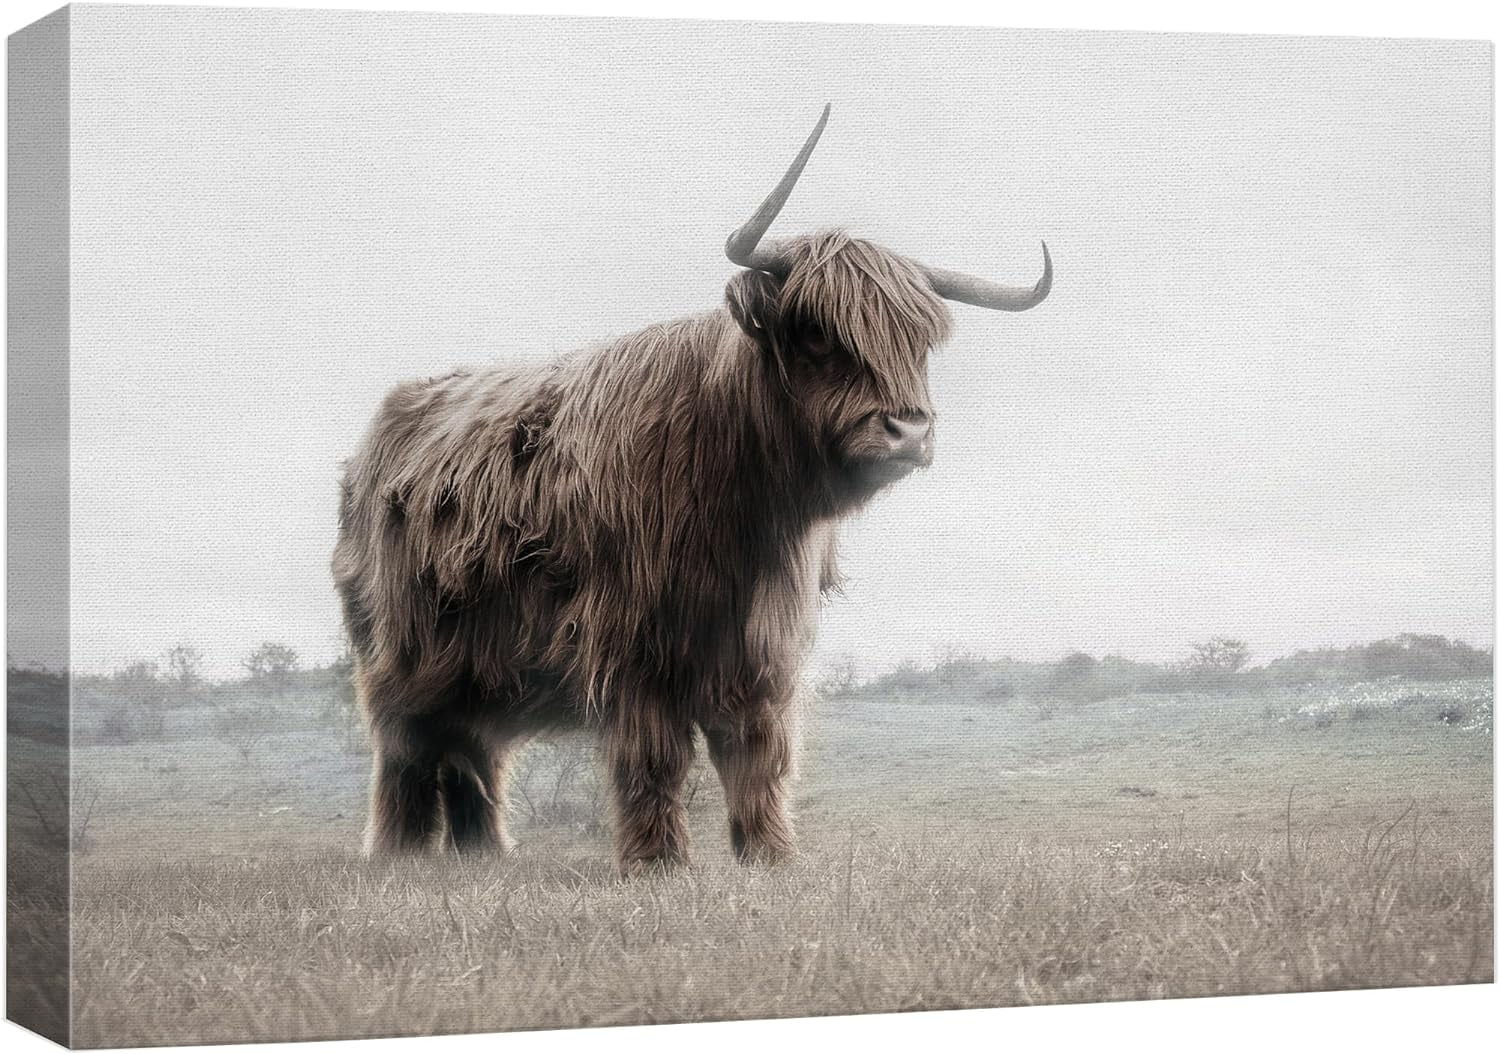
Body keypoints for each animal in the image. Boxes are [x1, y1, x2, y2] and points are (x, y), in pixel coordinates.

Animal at [332, 105, 1050, 872]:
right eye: (817, 334)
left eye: (918, 342)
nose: (909, 431)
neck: (744, 508)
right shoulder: (636, 644)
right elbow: (654, 756)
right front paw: (658, 862)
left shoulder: (761, 646)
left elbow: (758, 753)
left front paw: (769, 855)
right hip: (397, 655)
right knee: (407, 751)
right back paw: (400, 855)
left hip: (479, 669)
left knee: (474, 752)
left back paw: (485, 855)